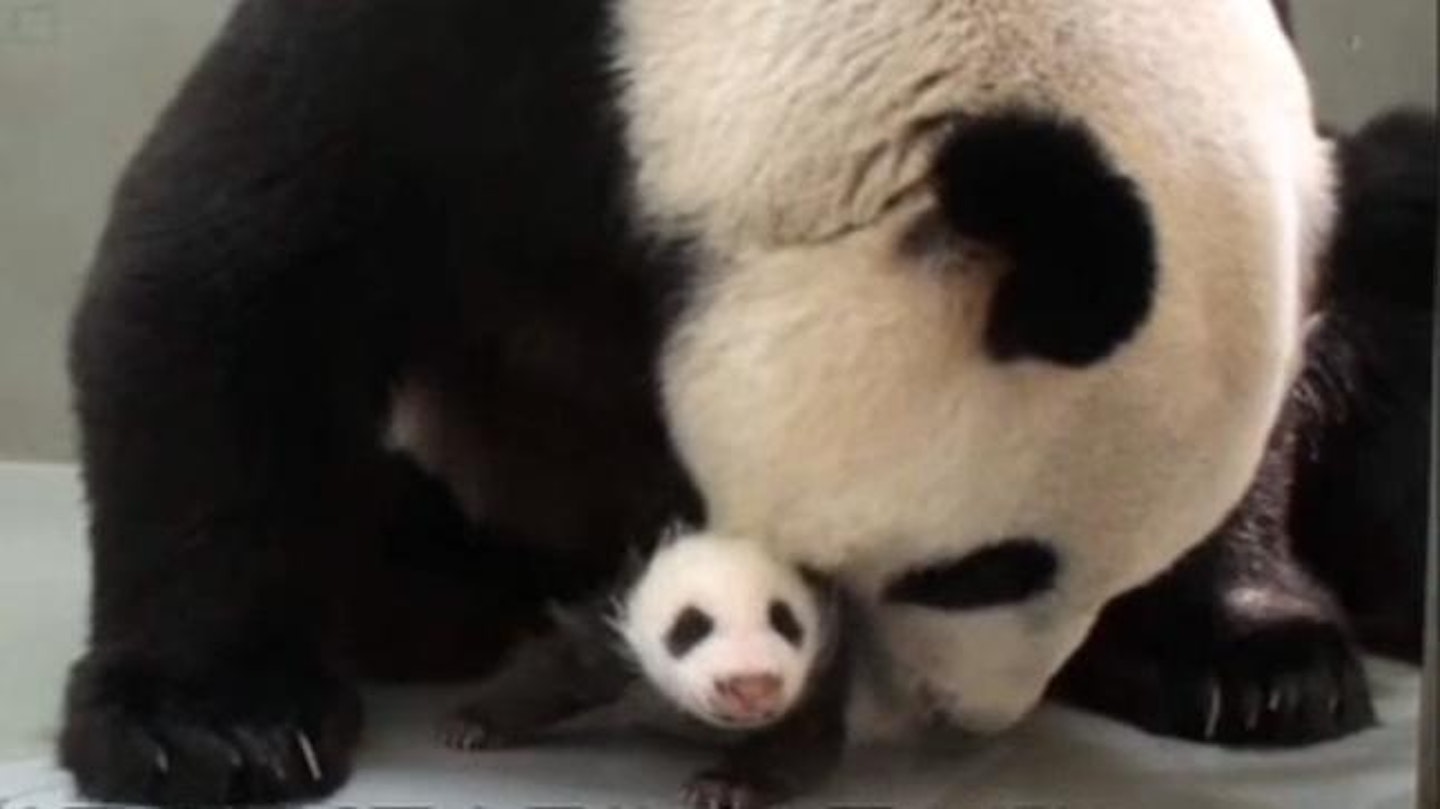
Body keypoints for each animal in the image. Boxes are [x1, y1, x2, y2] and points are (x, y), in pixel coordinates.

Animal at [60, 0, 1430, 806]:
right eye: (981, 569)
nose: (970, 714)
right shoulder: (481, 47)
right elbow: (237, 265)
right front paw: (215, 724)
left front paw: (1248, 655)